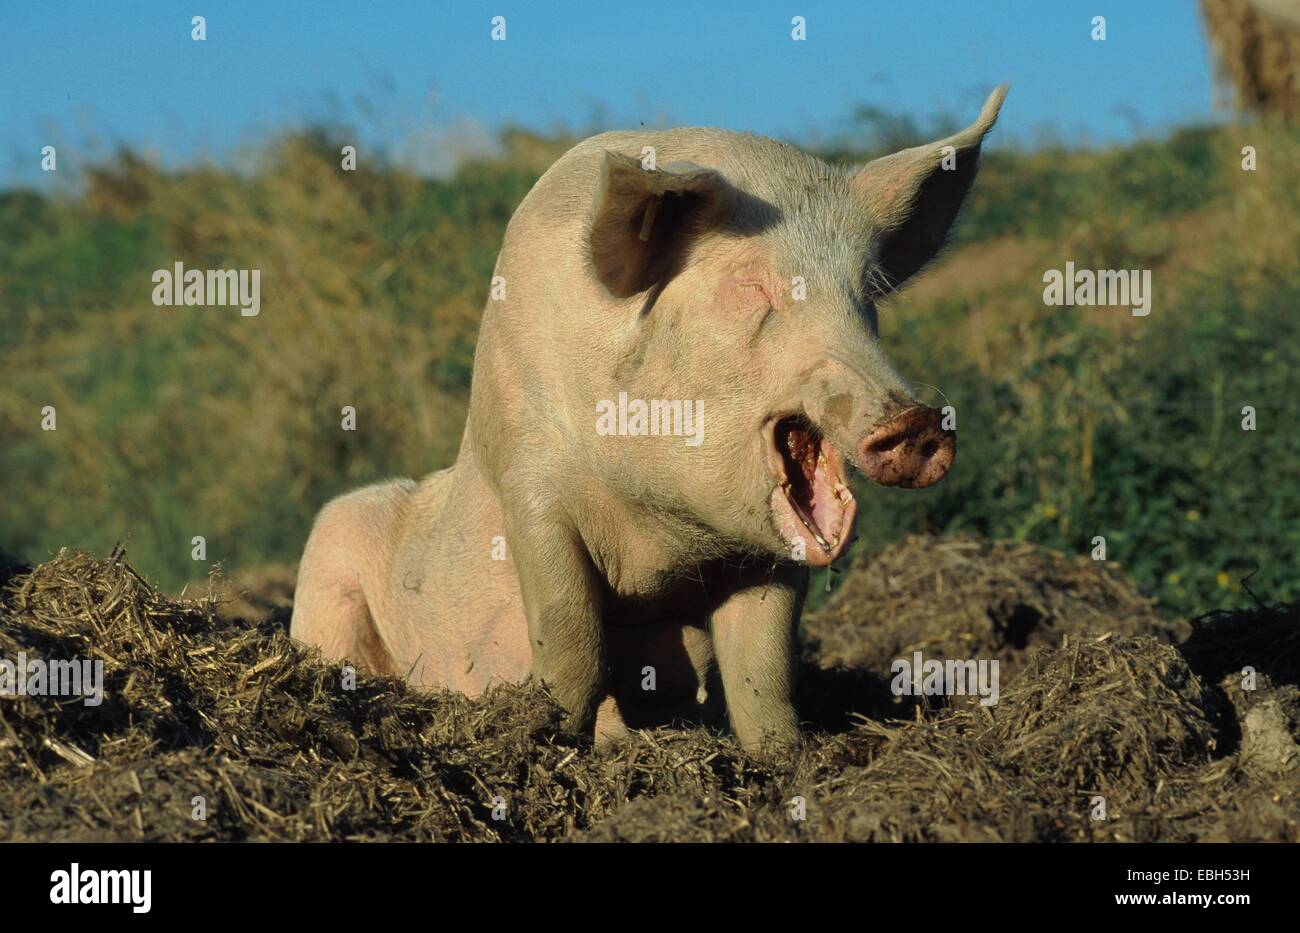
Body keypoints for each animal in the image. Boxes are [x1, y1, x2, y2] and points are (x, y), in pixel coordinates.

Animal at [290, 86, 1008, 752]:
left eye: (867, 294)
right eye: (752, 286)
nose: (918, 420)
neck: (662, 536)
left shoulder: (769, 557)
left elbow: (763, 667)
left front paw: (784, 759)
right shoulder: (531, 486)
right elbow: (572, 635)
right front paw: (559, 739)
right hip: (326, 558)